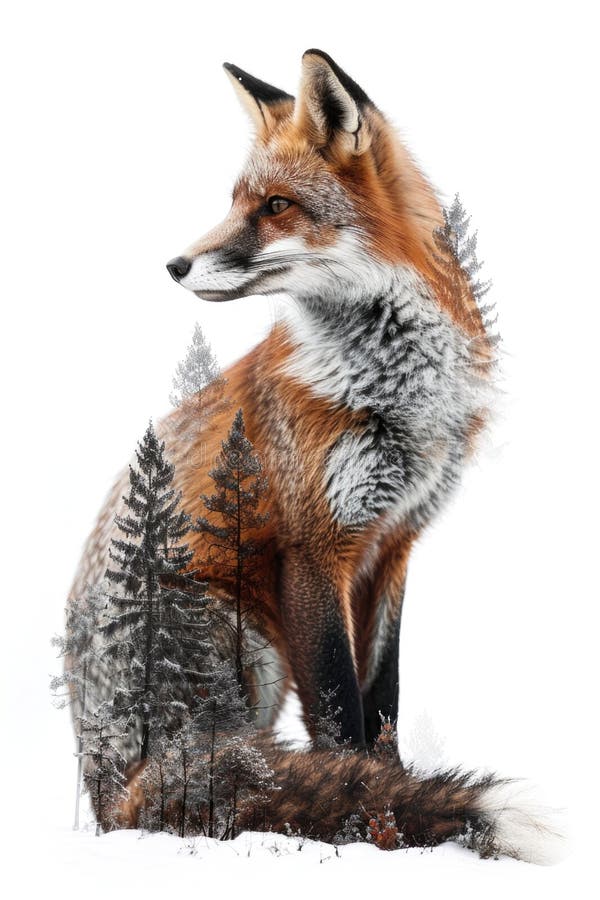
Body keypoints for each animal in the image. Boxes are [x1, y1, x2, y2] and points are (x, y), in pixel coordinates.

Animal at [67, 50, 560, 862]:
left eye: (274, 206)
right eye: (237, 202)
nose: (174, 265)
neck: (391, 389)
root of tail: (105, 787)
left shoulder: (391, 545)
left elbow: (381, 707)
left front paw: (391, 798)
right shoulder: (312, 549)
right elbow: (337, 718)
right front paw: (374, 828)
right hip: (246, 642)